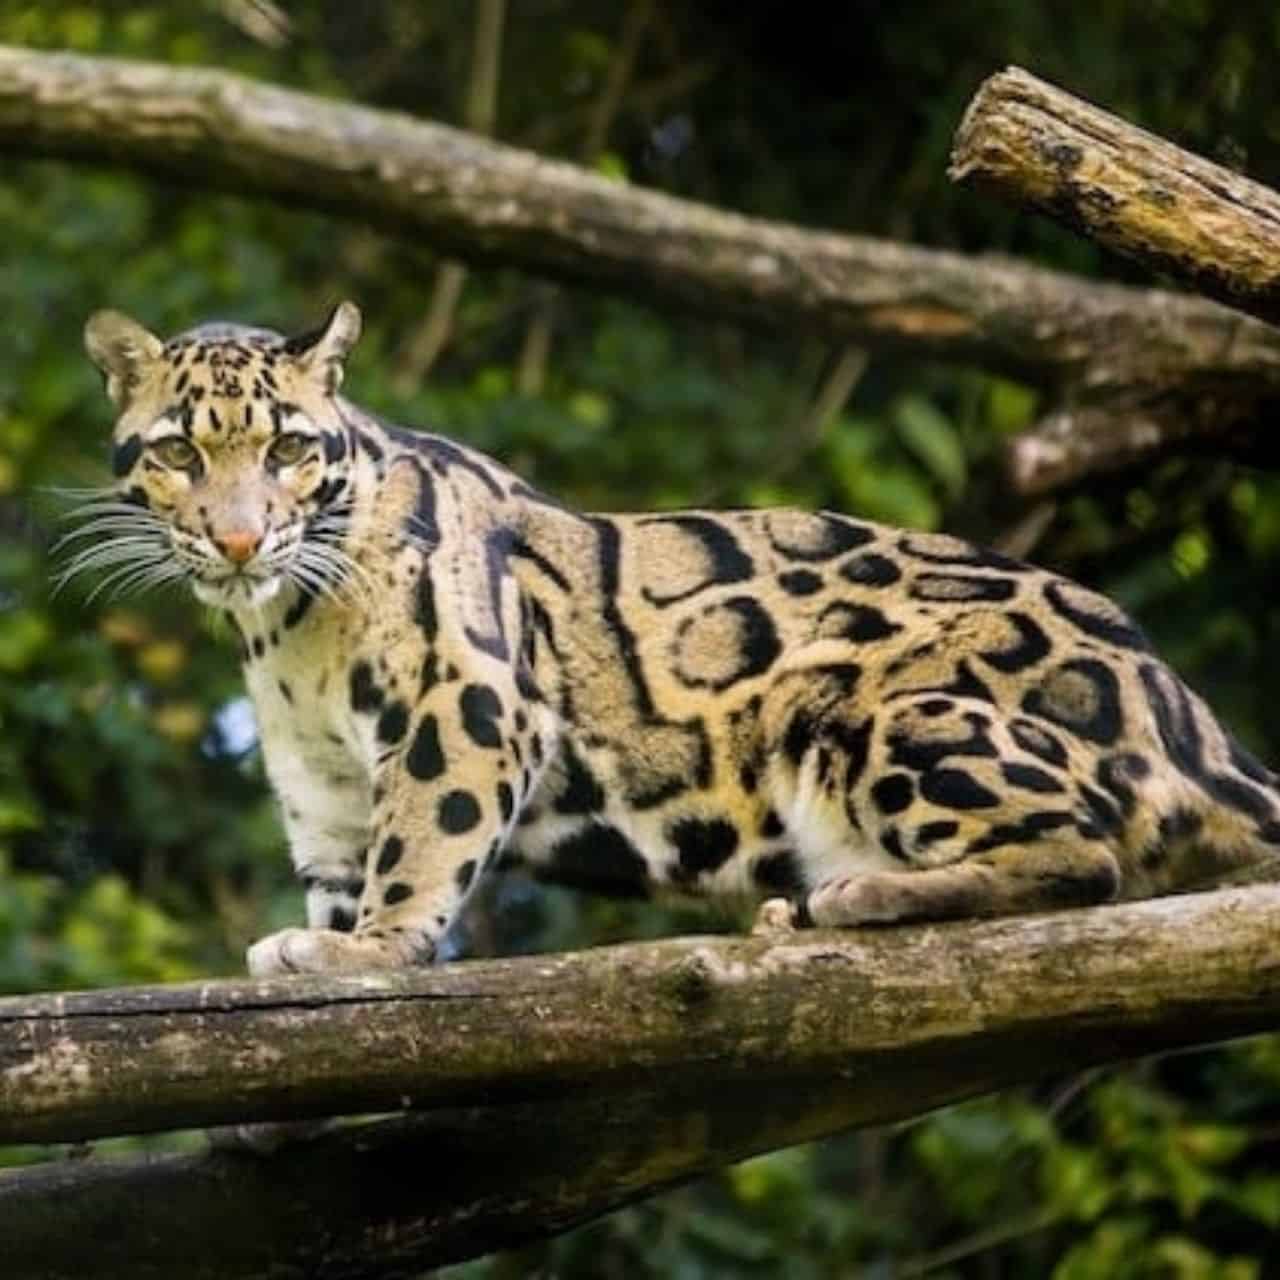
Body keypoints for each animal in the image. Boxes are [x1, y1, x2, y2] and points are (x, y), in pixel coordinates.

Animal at [75, 300, 1280, 977]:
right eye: (180, 453)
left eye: (286, 449)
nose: (239, 536)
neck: (284, 625)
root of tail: (1192, 717)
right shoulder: (321, 780)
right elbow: (345, 865)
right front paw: (330, 937)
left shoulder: (468, 705)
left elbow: (417, 851)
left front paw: (365, 950)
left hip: (882, 712)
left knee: (1085, 853)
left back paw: (862, 895)